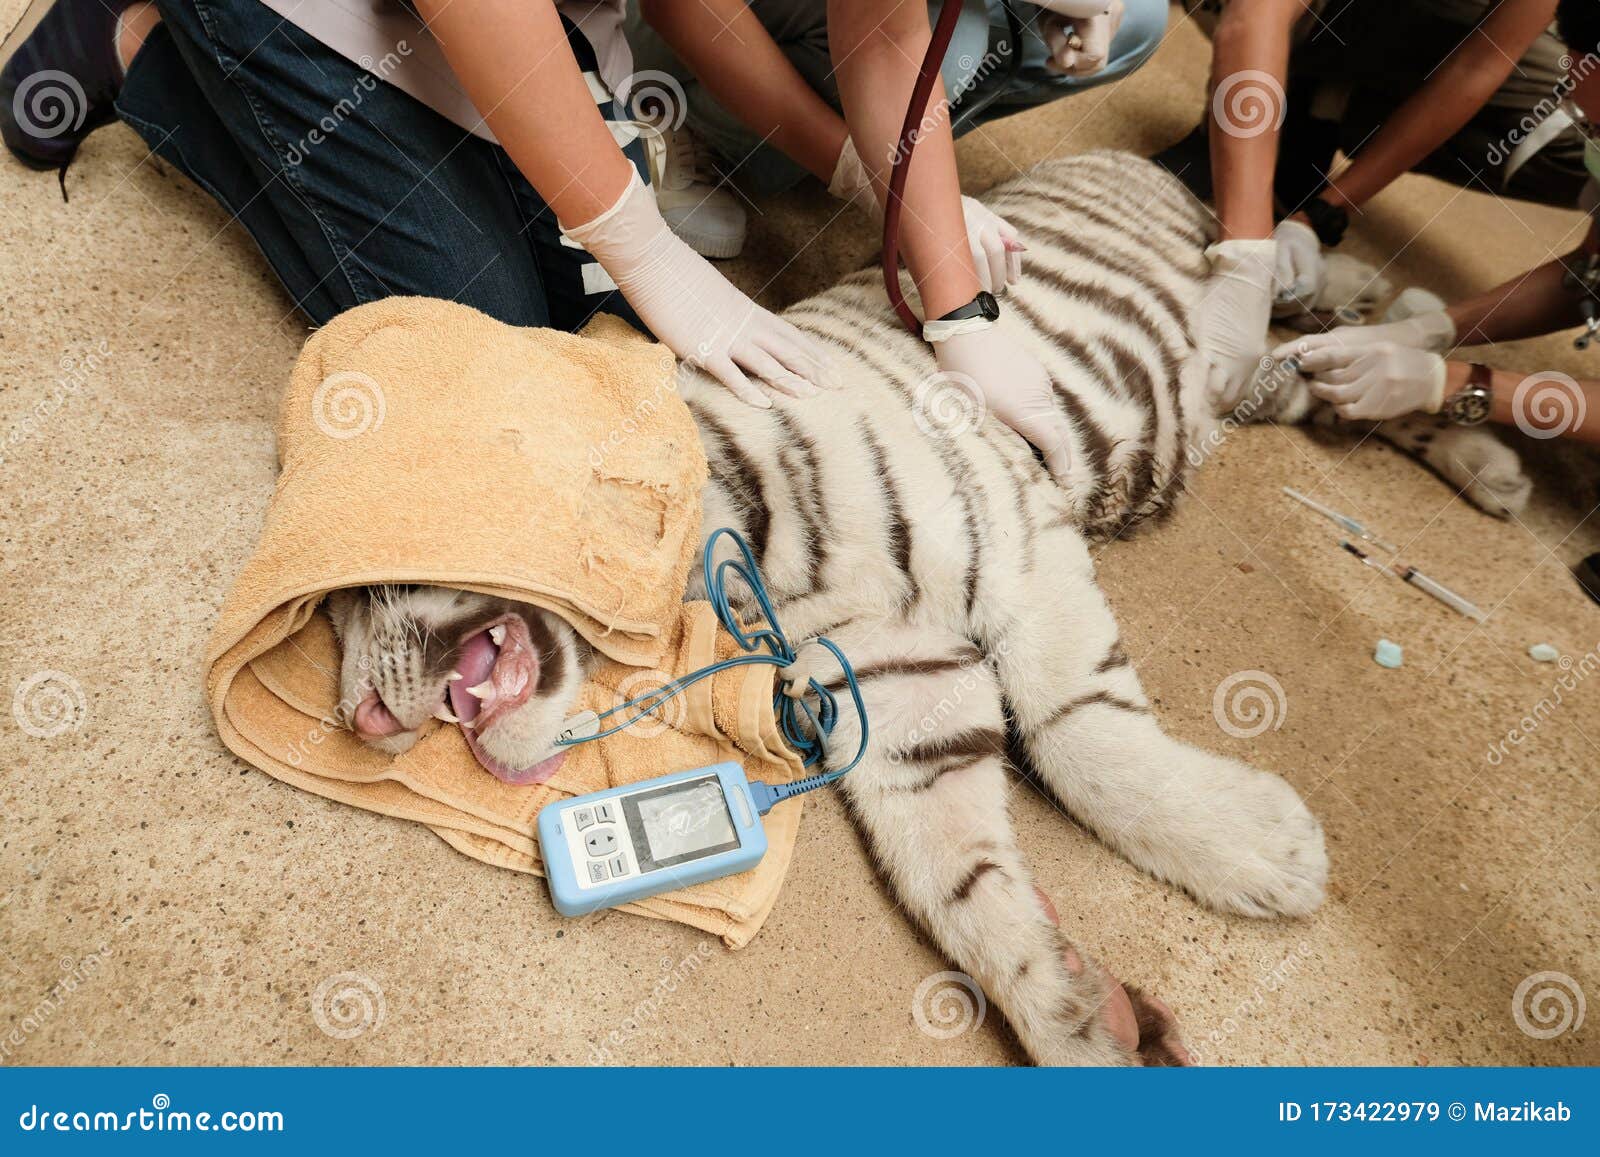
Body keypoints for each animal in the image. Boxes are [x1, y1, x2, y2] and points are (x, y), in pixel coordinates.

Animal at [325, 149, 1516, 1065]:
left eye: (363, 587)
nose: (360, 718)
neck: (740, 556)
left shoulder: (1021, 542)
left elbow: (1082, 735)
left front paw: (1265, 851)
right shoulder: (899, 677)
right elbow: (955, 869)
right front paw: (1075, 1013)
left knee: (1297, 304)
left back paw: (1393, 319)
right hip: (1266, 386)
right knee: (1319, 381)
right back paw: (1458, 427)